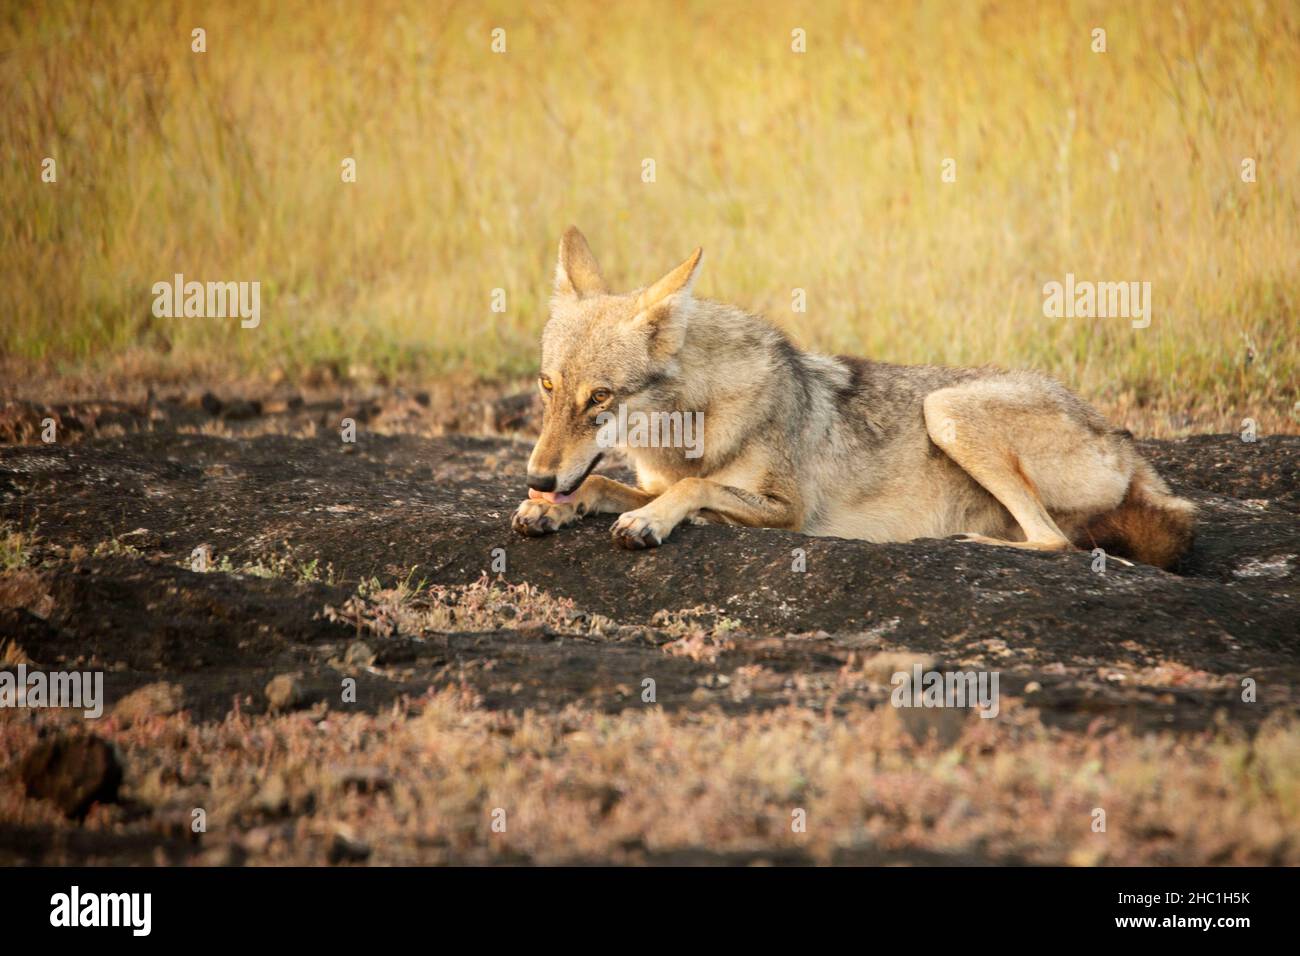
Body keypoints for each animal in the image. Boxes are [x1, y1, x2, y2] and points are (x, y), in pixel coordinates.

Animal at [512, 227, 1196, 569]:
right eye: (548, 387)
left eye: (600, 397)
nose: (538, 475)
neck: (694, 422)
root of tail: (1126, 445)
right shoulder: (644, 476)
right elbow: (604, 483)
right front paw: (547, 507)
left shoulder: (787, 509)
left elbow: (695, 488)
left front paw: (651, 521)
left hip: (946, 409)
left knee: (1055, 542)